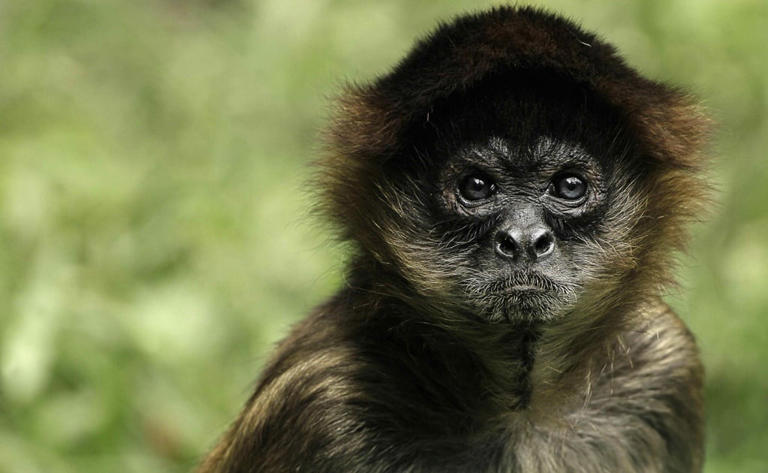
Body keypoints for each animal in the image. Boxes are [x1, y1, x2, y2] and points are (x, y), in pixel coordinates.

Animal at [198, 7, 711, 473]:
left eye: (569, 186)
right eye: (476, 187)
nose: (524, 240)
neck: (519, 411)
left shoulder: (662, 360)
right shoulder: (318, 399)